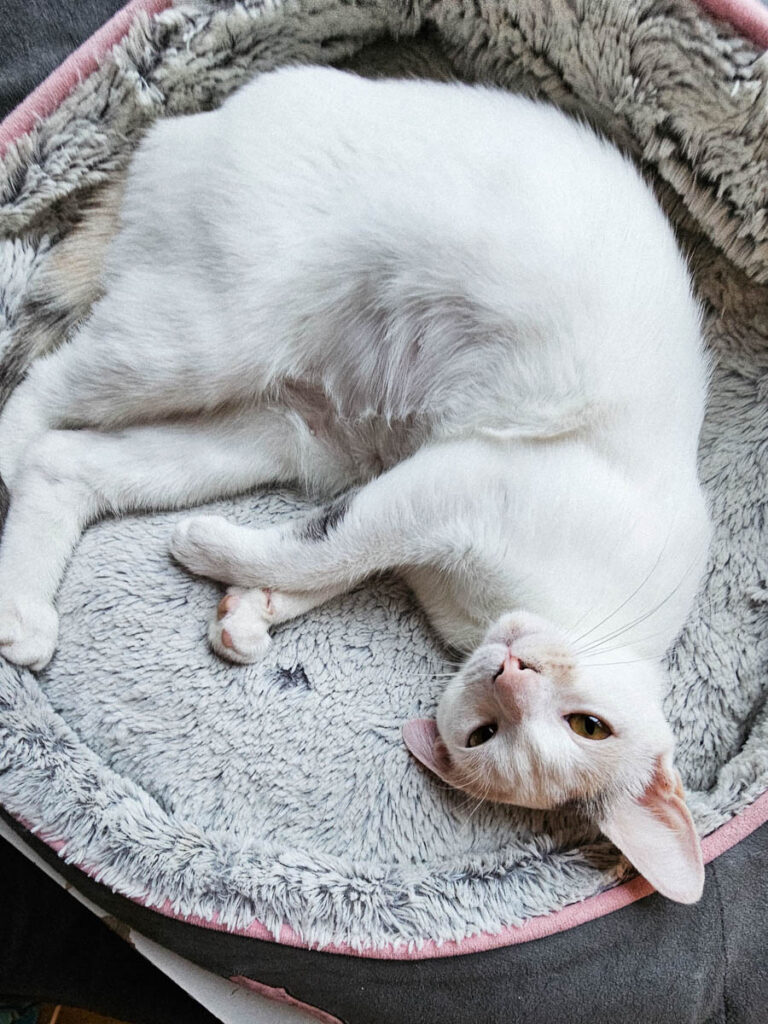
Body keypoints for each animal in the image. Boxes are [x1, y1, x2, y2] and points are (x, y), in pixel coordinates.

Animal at [0, 66, 716, 897]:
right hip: (198, 338)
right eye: (588, 726)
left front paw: (248, 609)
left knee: (68, 459)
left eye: (485, 735)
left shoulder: (402, 504)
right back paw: (12, 463)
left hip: (274, 431)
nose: (512, 671)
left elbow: (326, 559)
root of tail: (193, 123)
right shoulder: (449, 483)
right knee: (41, 390)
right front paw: (218, 556)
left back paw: (25, 609)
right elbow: (331, 549)